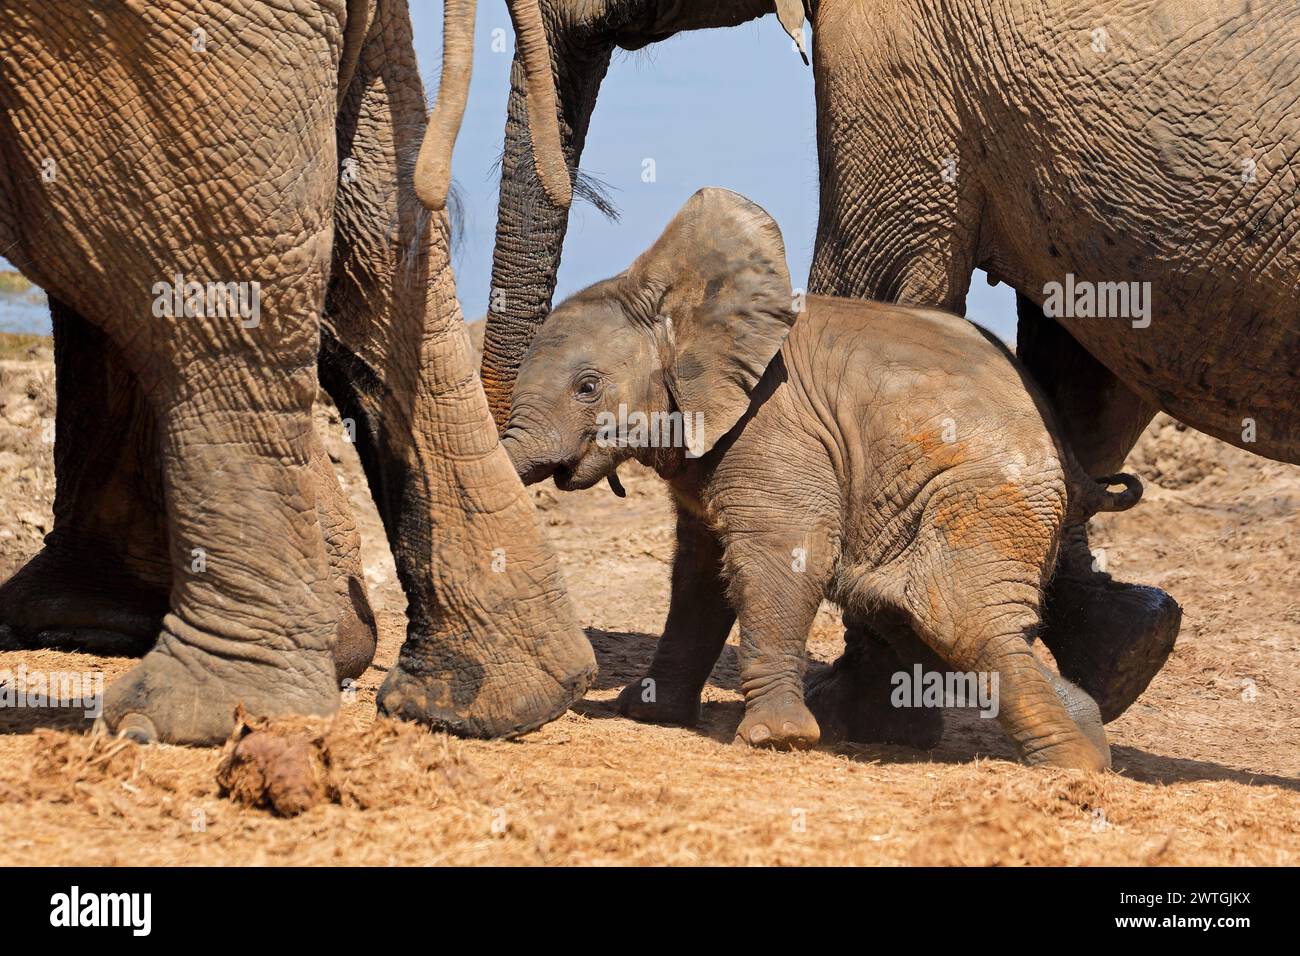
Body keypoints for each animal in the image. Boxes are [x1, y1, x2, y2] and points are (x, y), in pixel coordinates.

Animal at [502, 188, 1136, 768]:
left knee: (961, 622)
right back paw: (1088, 742)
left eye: (587, 387)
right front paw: (646, 712)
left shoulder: (775, 425)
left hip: (984, 498)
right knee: (929, 621)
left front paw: (775, 740)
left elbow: (781, 552)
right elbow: (700, 572)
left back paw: (1069, 768)